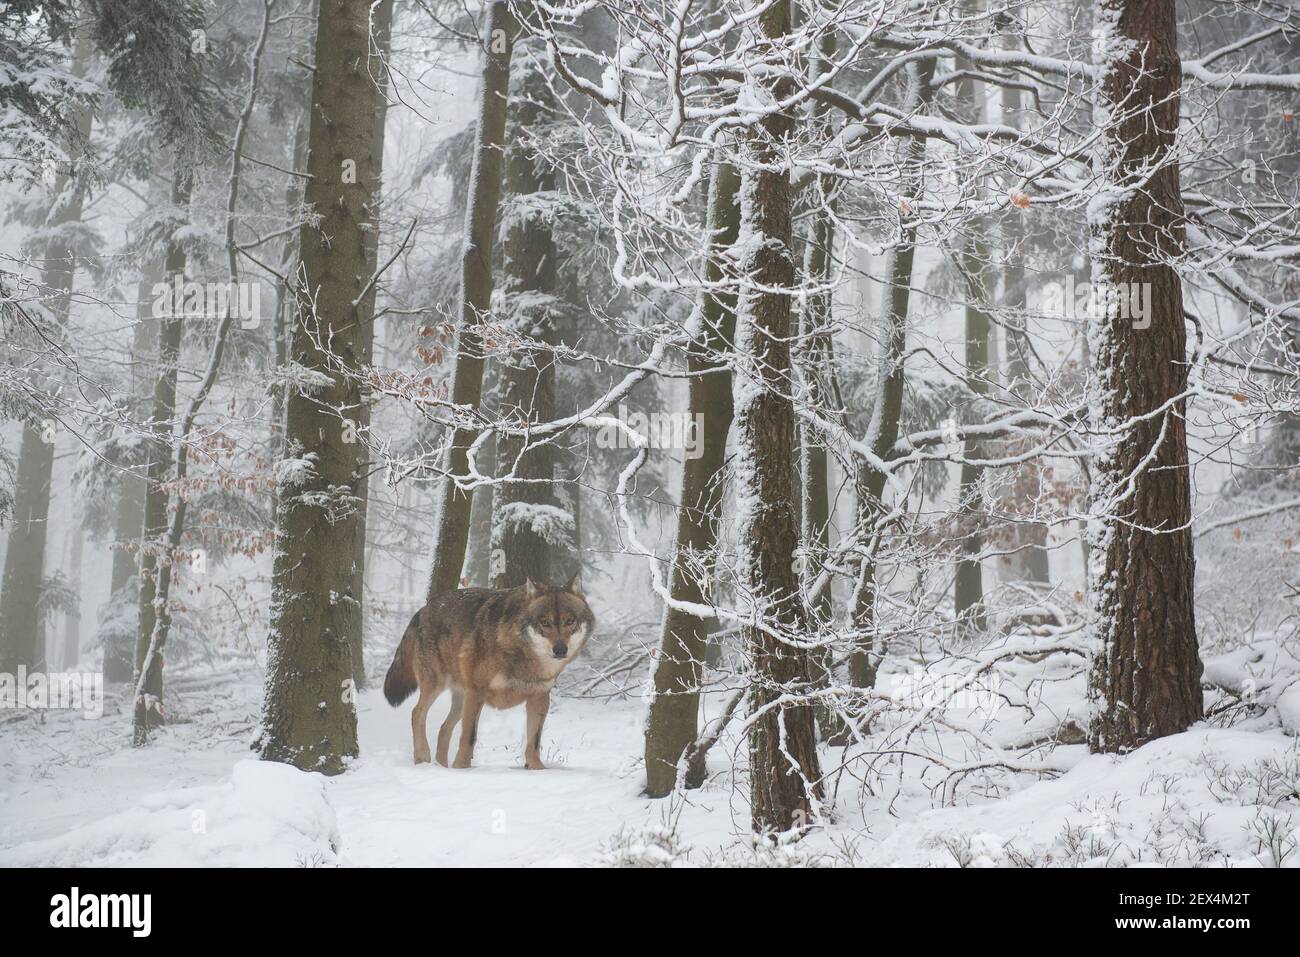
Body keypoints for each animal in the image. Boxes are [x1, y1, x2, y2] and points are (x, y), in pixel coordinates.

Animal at [383, 575, 595, 769]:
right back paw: (423, 758)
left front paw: (537, 769)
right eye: (544, 622)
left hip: (461, 699)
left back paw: (442, 767)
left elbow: (534, 740)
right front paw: (461, 768)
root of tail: (423, 609)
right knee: (416, 713)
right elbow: (469, 737)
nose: (560, 650)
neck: (522, 655)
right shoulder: (477, 691)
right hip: (438, 685)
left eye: (570, 621)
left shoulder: (540, 696)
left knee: (444, 728)